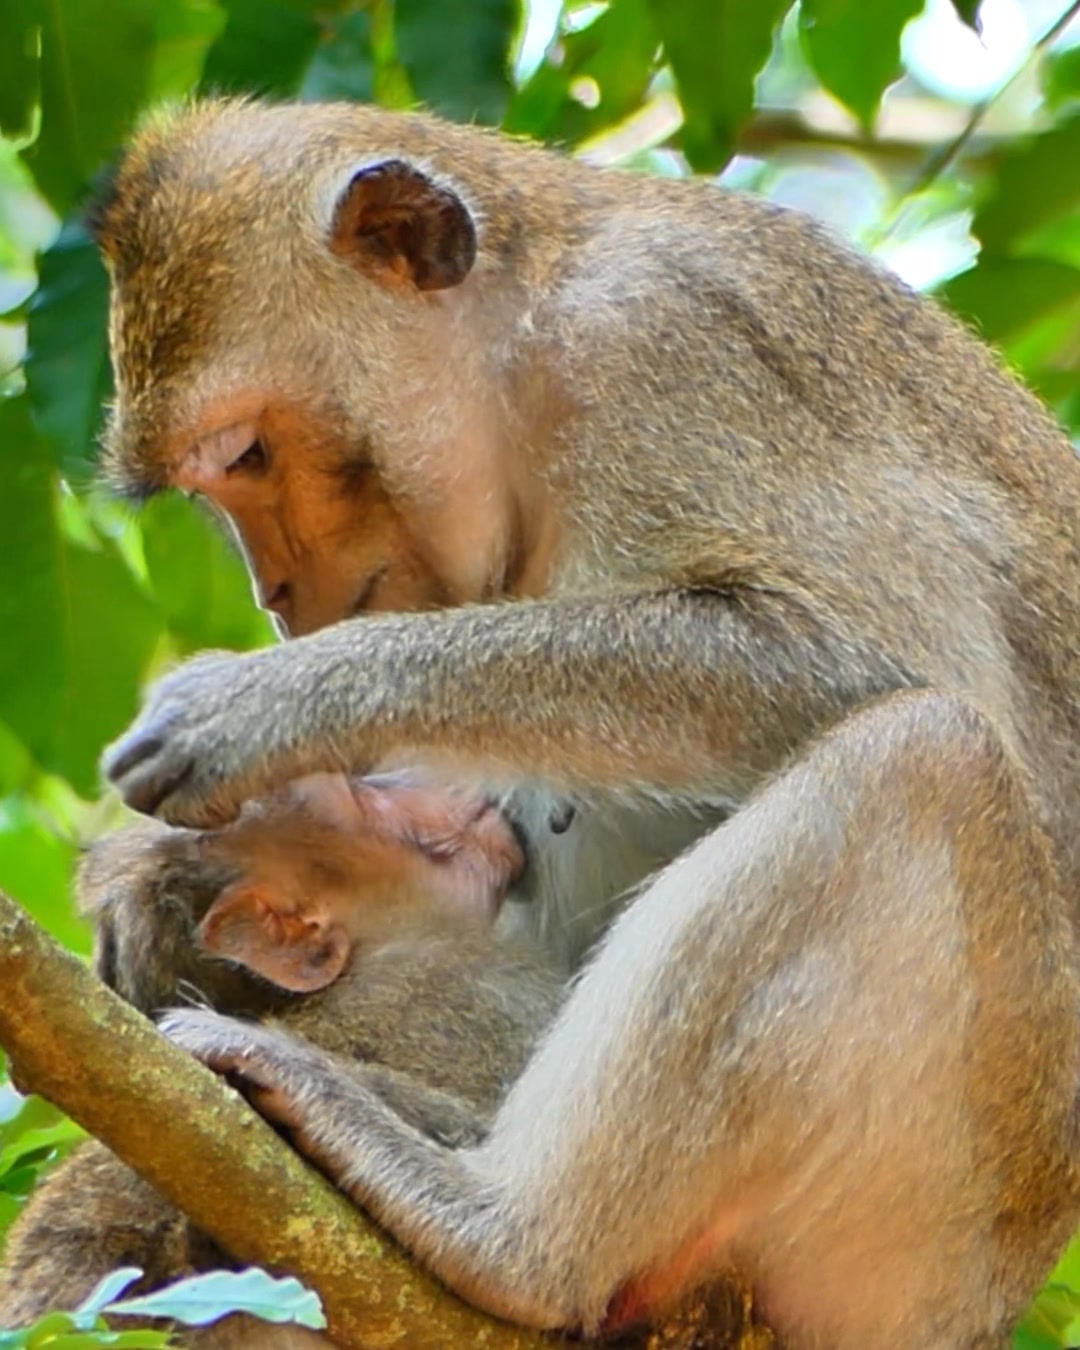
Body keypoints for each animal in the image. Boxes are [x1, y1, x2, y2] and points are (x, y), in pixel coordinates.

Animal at [77, 97, 1080, 1346]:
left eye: (247, 453)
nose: (276, 595)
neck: (533, 353)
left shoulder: (670, 343)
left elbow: (884, 652)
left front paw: (264, 704)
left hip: (956, 1207)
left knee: (924, 757)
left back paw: (506, 1236)